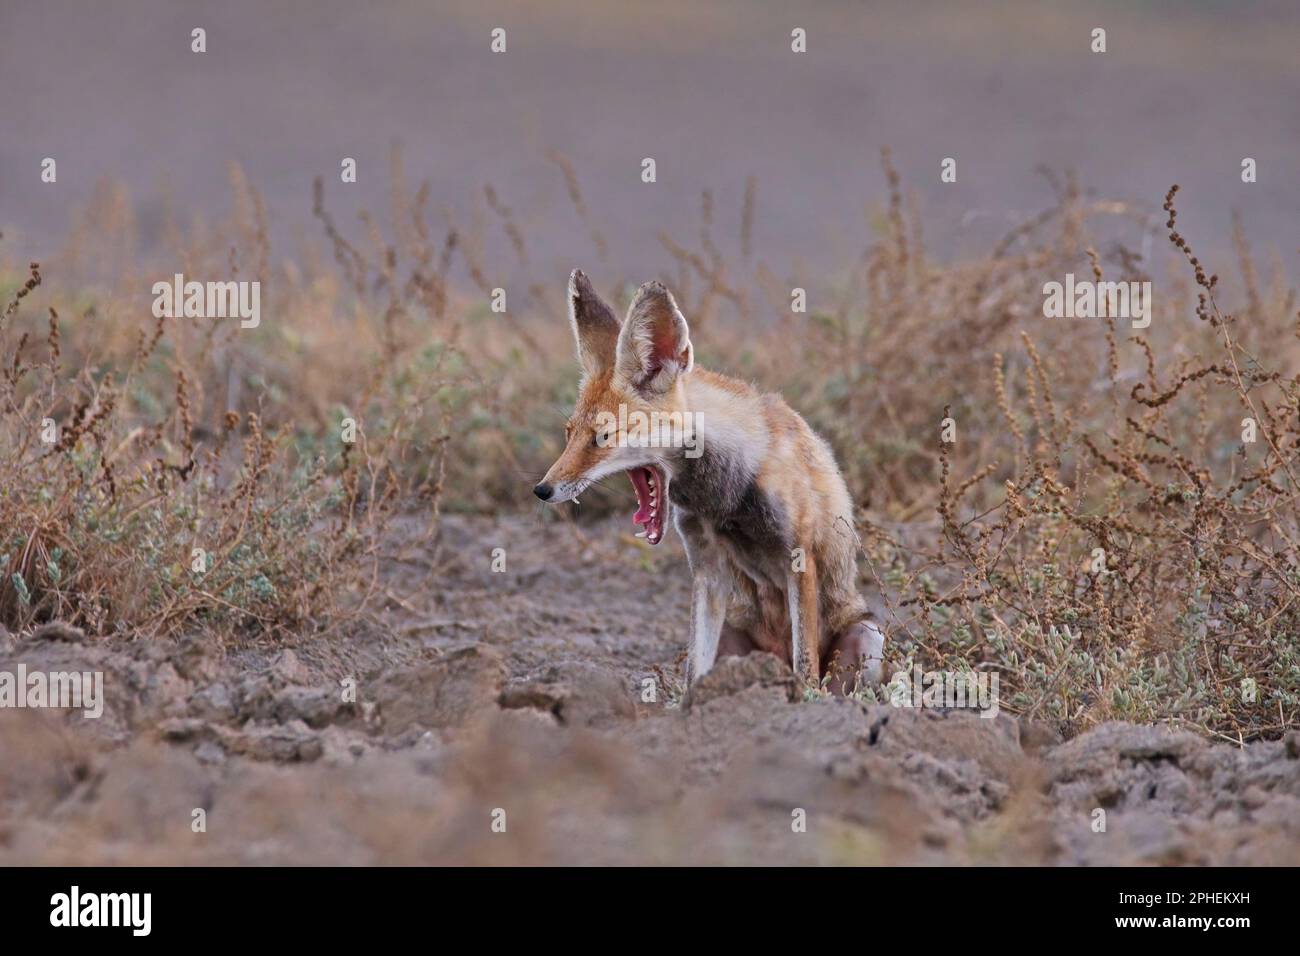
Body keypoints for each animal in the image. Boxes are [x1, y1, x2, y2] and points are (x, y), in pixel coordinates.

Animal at [535, 270, 885, 695]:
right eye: (568, 434)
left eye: (602, 438)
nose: (542, 490)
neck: (723, 497)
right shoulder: (708, 569)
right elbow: (694, 673)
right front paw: (692, 707)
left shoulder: (799, 557)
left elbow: (805, 668)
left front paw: (803, 703)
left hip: (868, 634)